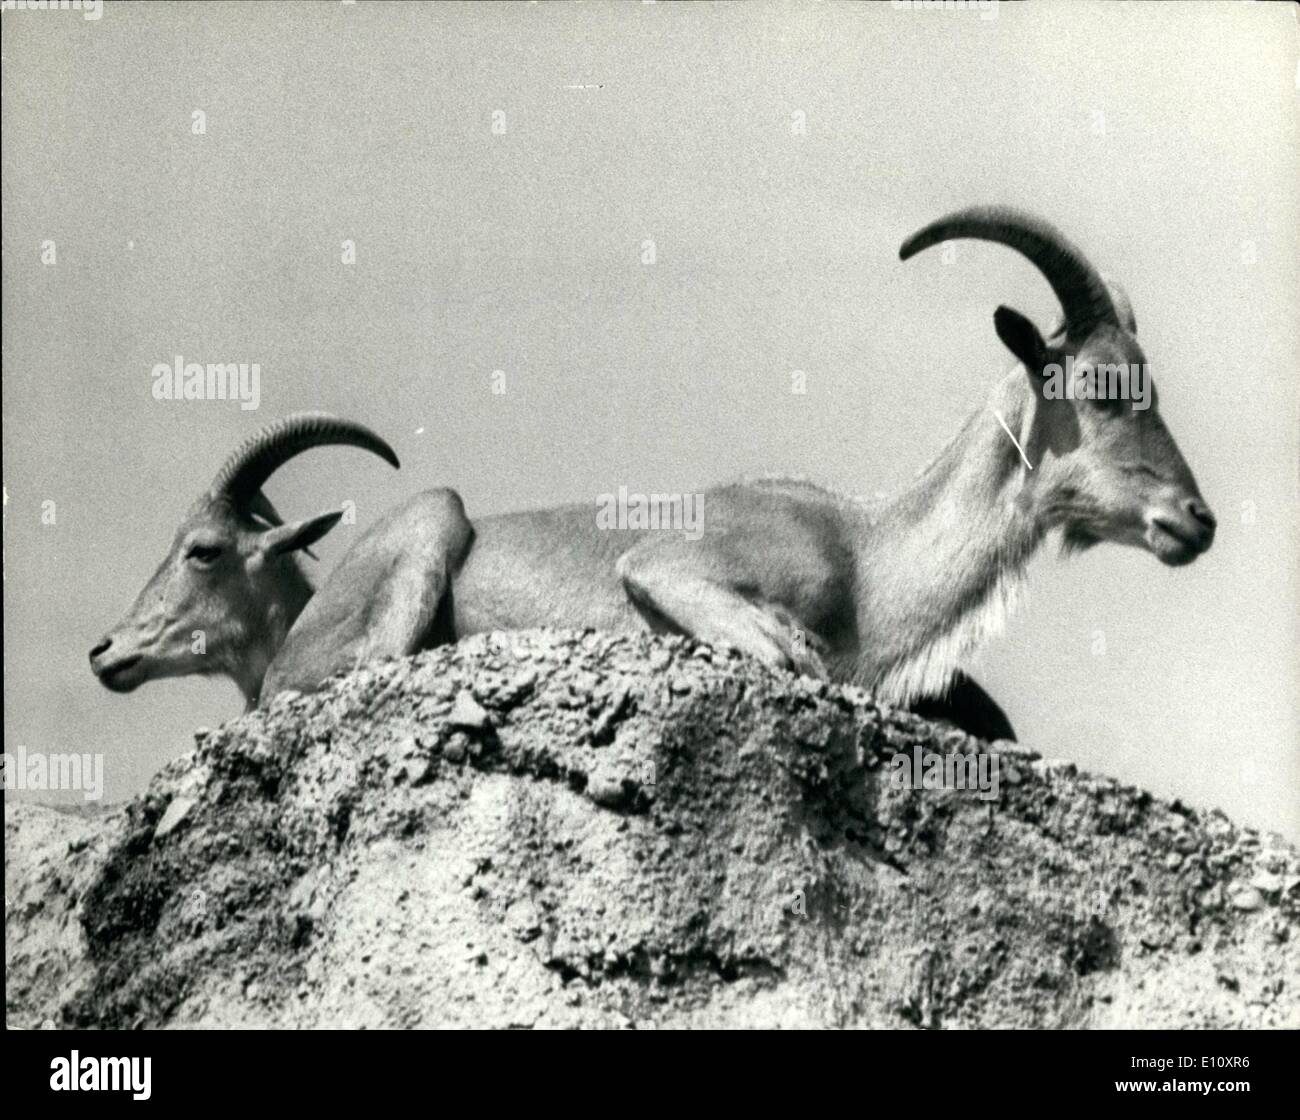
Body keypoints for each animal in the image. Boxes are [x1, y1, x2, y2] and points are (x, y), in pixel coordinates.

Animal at [91, 206, 1214, 740]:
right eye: (1103, 388)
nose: (1194, 519)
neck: (870, 557)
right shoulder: (674, 565)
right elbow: (771, 640)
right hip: (429, 521)